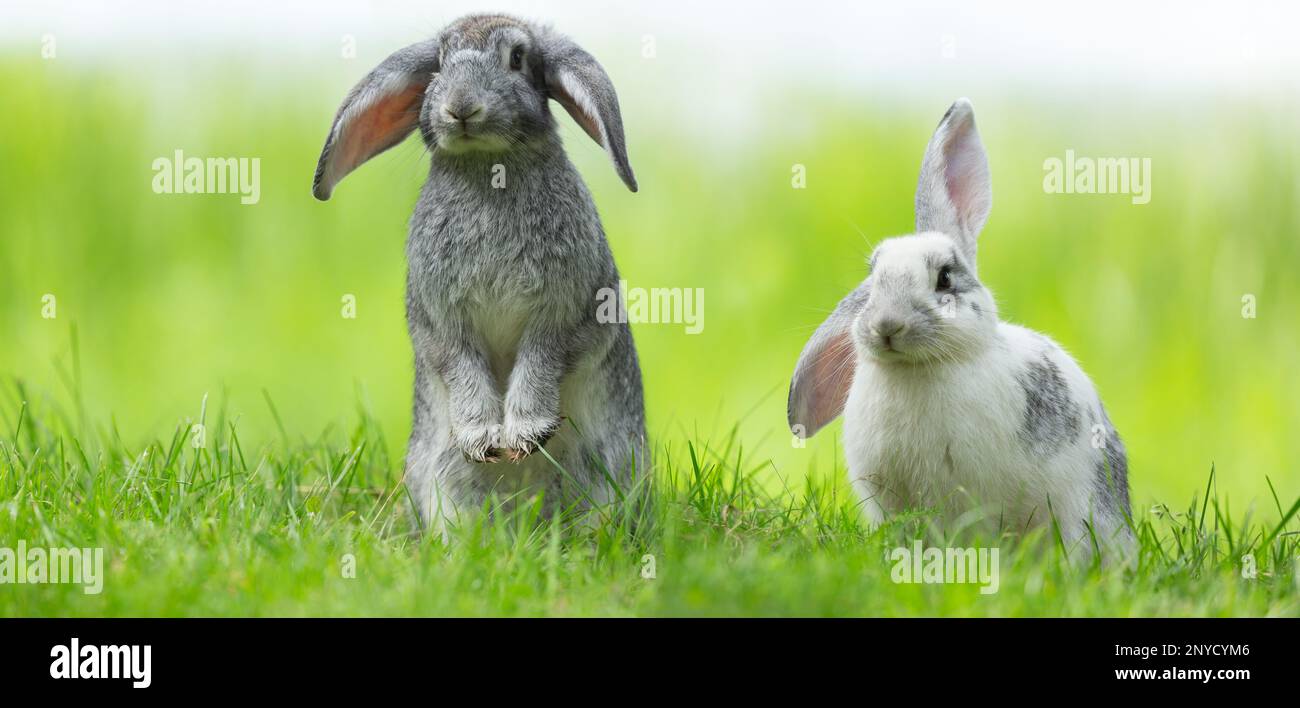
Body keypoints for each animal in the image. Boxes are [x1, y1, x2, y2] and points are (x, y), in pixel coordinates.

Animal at [312, 14, 646, 533]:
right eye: (441, 60)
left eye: (517, 58)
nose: (461, 107)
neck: (489, 166)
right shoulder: (442, 322)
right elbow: (460, 365)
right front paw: (486, 441)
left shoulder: (566, 314)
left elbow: (542, 360)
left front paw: (522, 435)